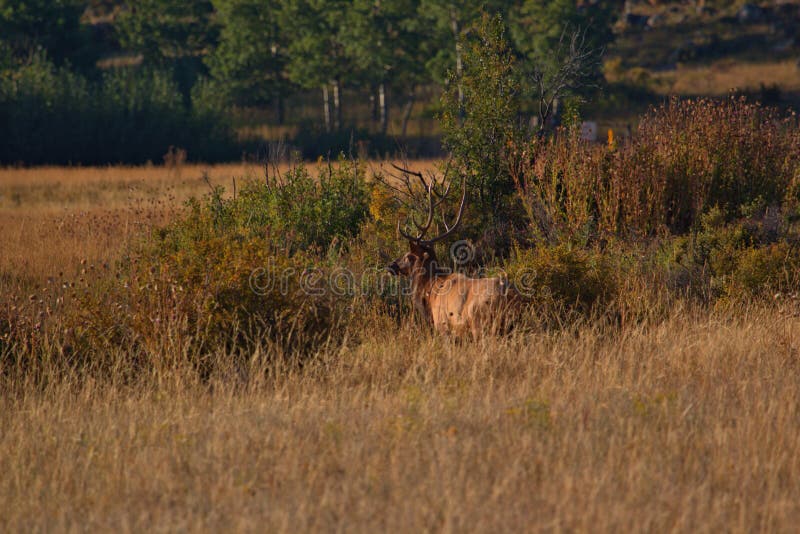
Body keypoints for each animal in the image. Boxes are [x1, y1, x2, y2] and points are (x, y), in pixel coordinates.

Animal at [385, 166, 520, 339]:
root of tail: (509, 296)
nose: (391, 265)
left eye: (409, 256)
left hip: (481, 325)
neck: (429, 293)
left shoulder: (443, 326)